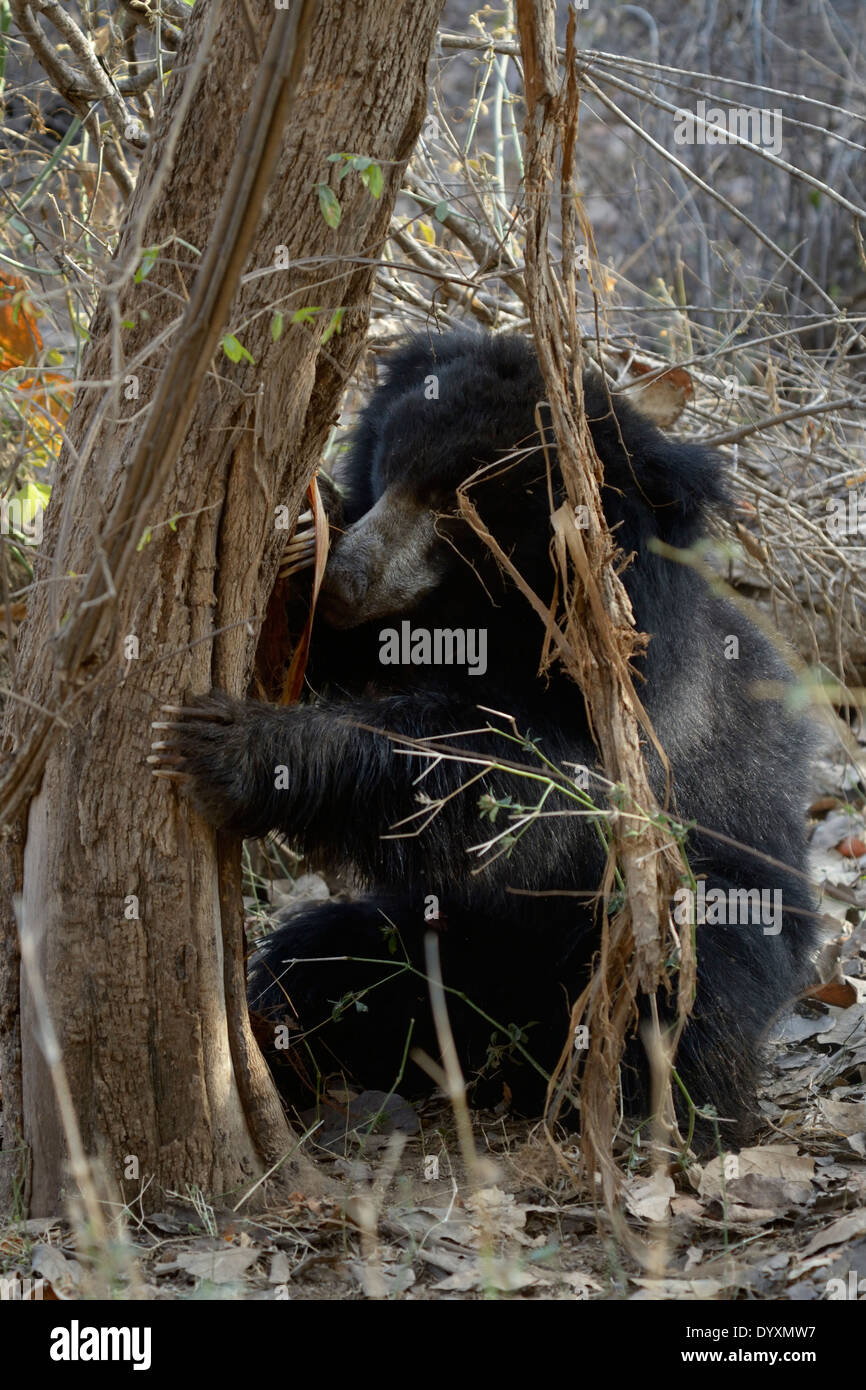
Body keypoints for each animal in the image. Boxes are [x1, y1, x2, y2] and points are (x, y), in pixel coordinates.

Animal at [151, 330, 818, 1147]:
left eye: (457, 506)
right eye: (390, 468)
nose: (345, 585)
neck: (490, 618)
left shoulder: (632, 696)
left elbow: (526, 787)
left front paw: (230, 749)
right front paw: (306, 541)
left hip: (709, 918)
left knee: (687, 984)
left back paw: (652, 1110)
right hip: (439, 940)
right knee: (329, 963)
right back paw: (301, 1051)